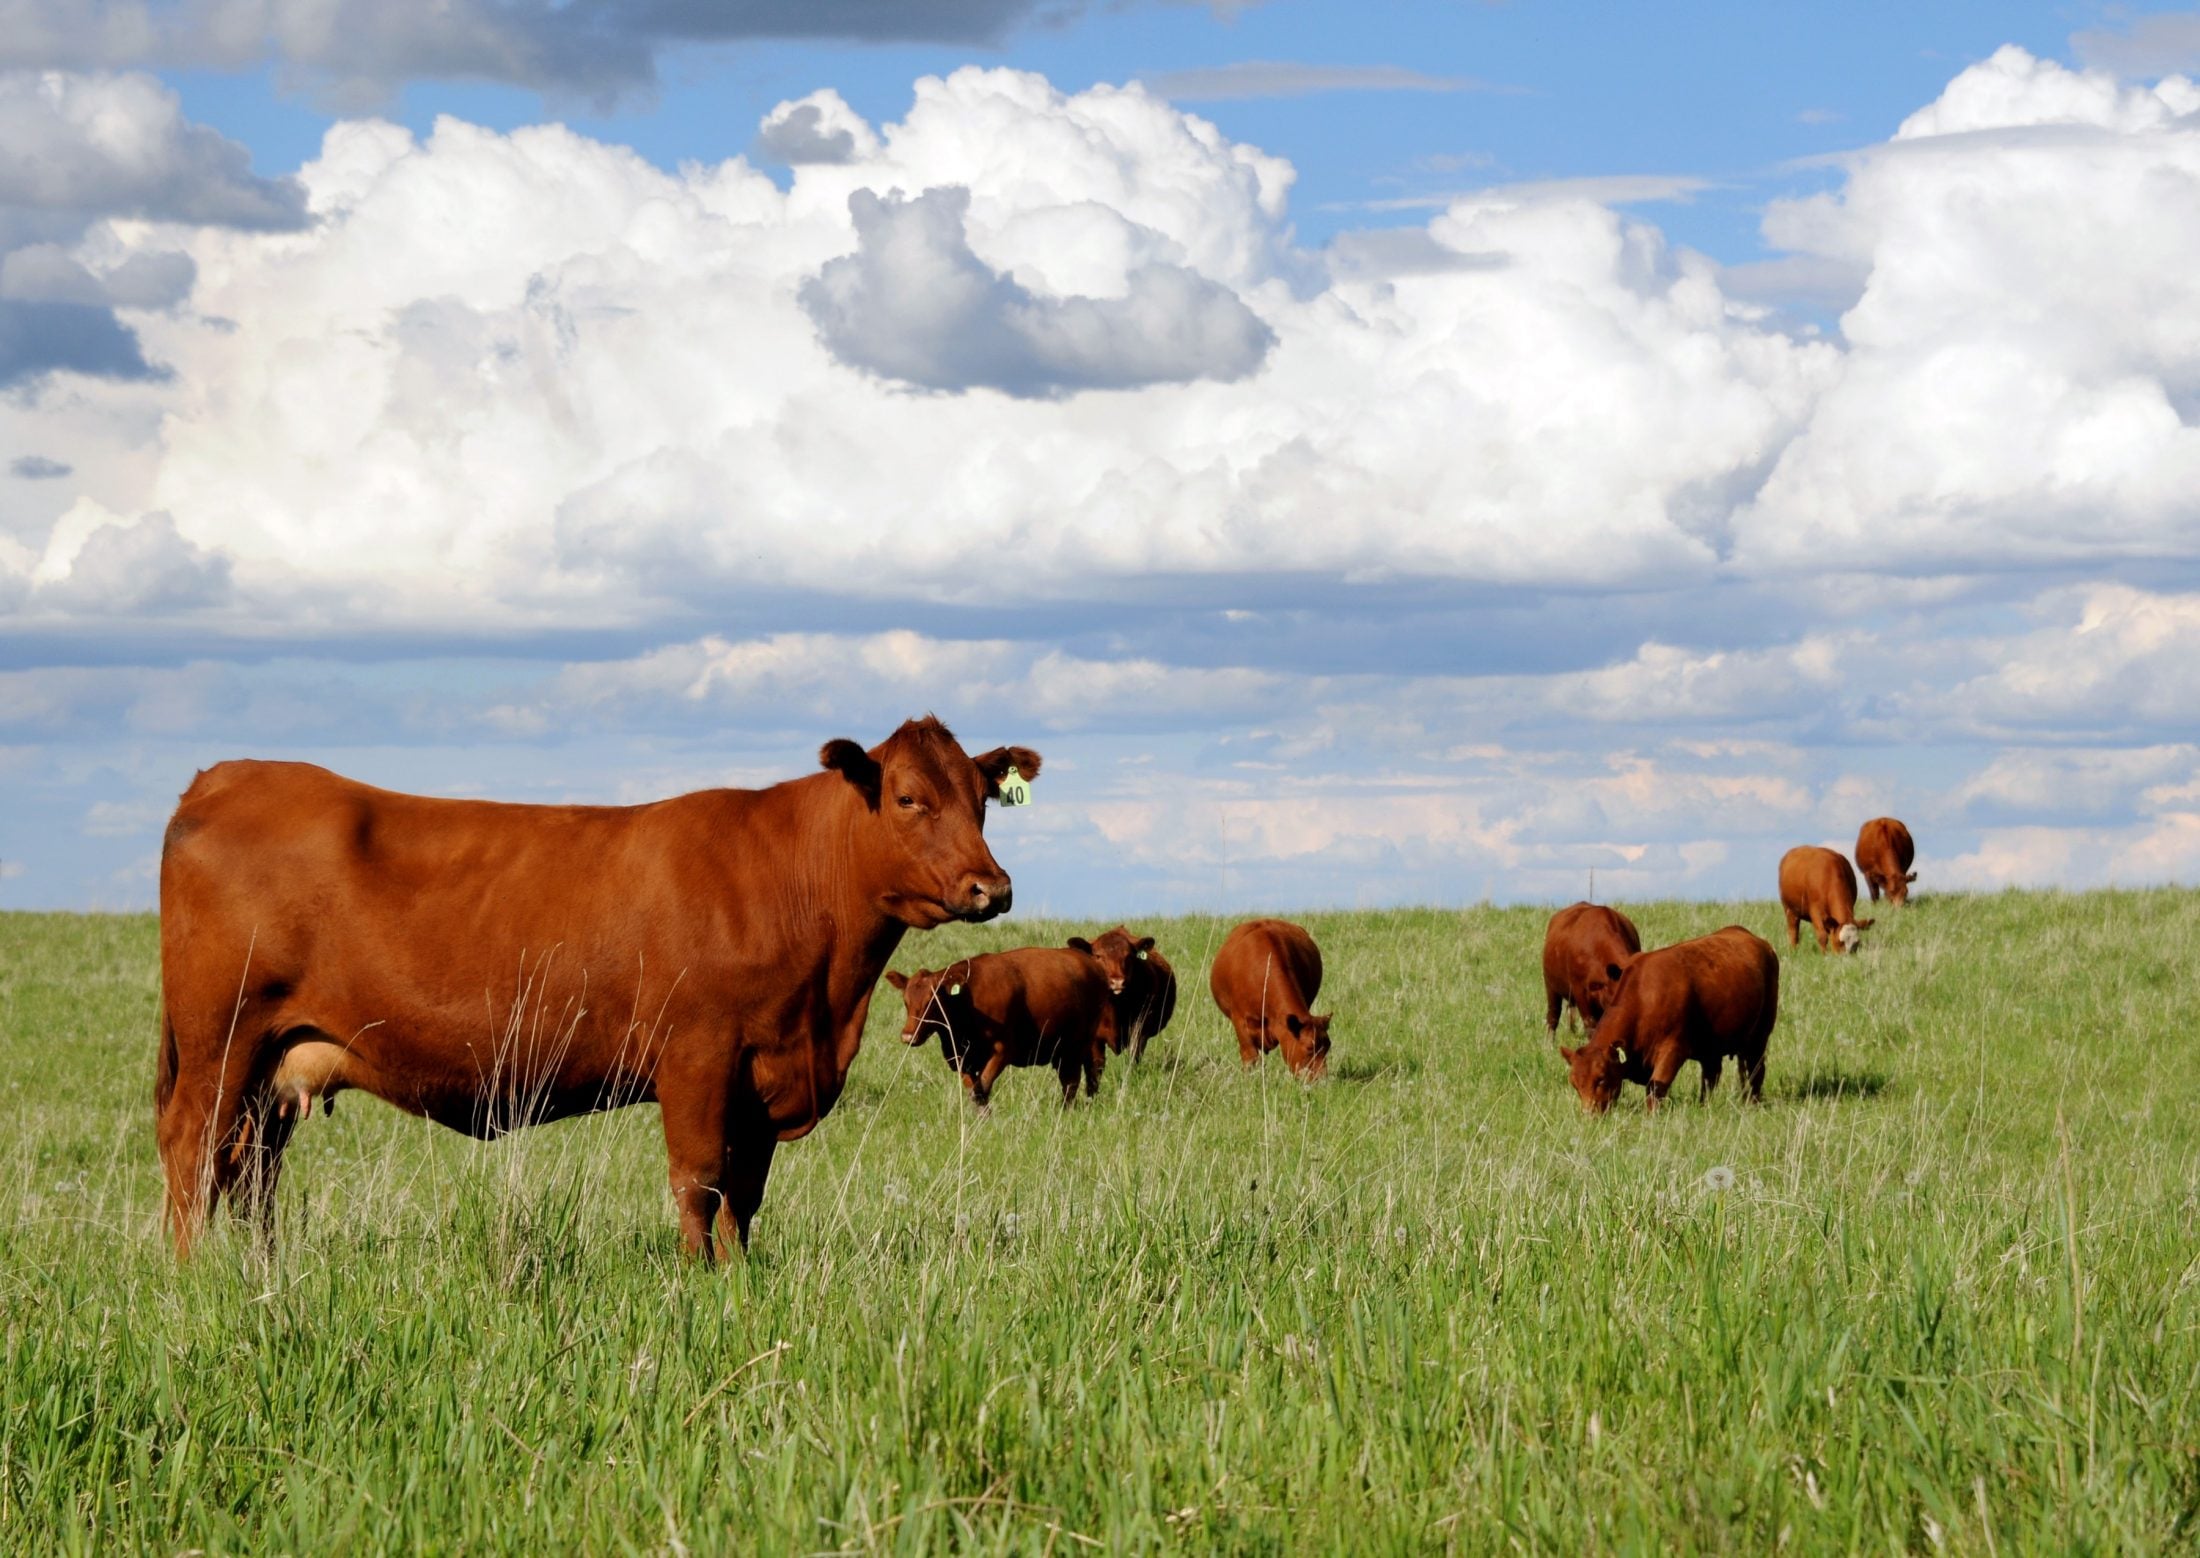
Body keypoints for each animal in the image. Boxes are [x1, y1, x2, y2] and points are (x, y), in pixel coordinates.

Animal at [154, 717, 1040, 1262]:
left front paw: (742, 1280)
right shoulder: (698, 1056)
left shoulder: (764, 1075)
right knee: (194, 1150)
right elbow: (698, 1181)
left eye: (983, 801)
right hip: (221, 1039)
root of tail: (223, 777)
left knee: (251, 1170)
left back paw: (263, 1269)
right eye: (908, 797)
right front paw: (697, 1284)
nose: (990, 887)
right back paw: (193, 1275)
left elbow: (744, 1194)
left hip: (275, 1061)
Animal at [885, 948, 1115, 1110]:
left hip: (1078, 1043)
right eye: (906, 1001)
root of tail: (1090, 962)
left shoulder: (1003, 1049)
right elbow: (975, 1091)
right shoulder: (961, 1057)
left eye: (933, 1002)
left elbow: (983, 1087)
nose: (908, 1036)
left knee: (1076, 1079)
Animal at [1557, 925, 1778, 1113]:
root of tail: (1757, 940)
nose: (1589, 1115)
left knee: (1755, 1072)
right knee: (1712, 1077)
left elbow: (1655, 1089)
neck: (1643, 997)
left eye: (1601, 1078)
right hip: (1715, 1048)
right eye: (1574, 1083)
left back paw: (1752, 1103)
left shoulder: (1673, 1050)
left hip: (1759, 1038)